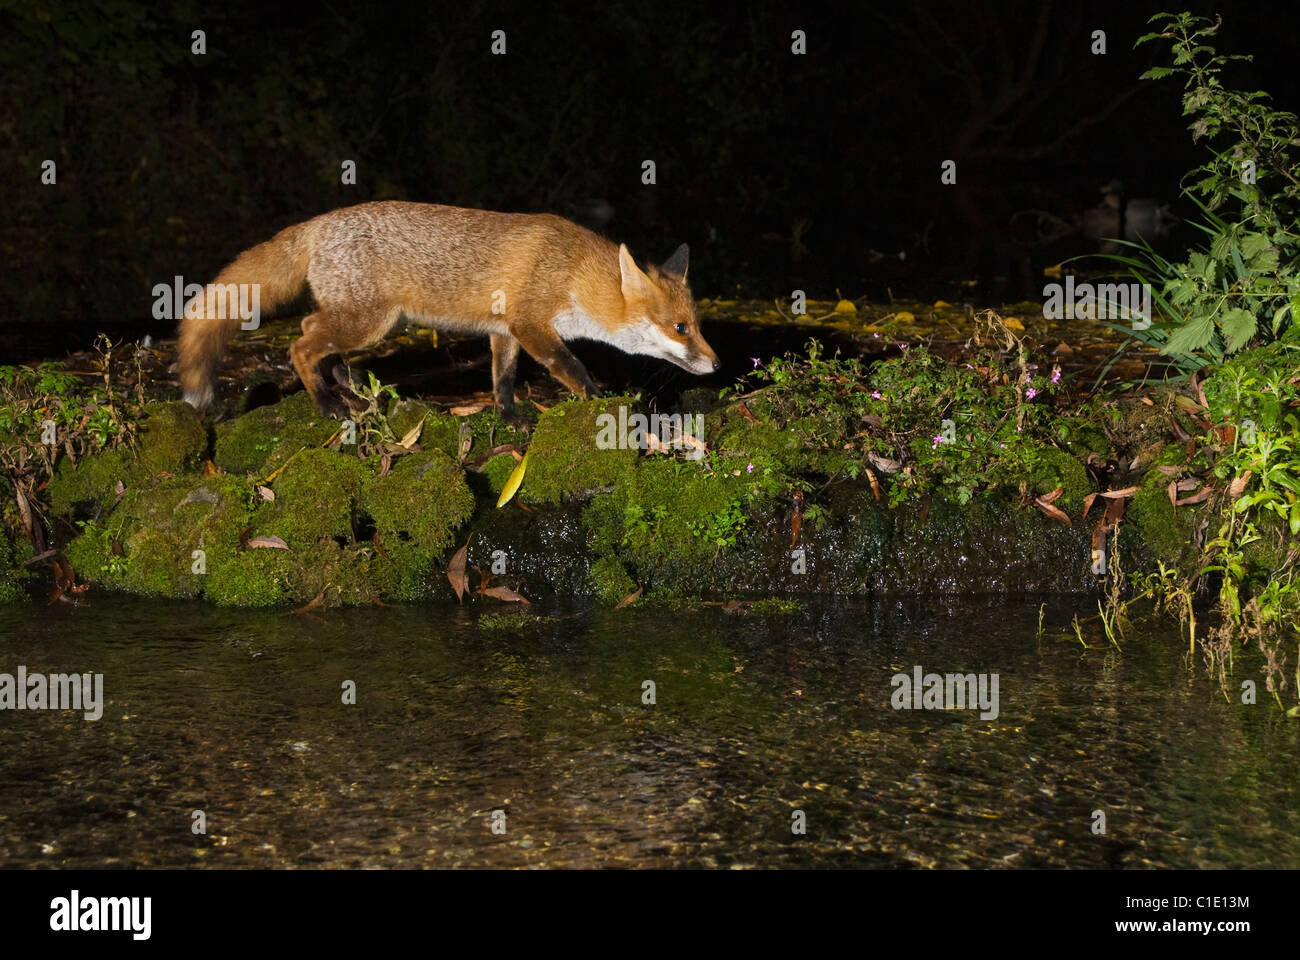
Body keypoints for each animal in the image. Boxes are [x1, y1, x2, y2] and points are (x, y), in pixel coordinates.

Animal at [176, 201, 720, 419]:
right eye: (680, 327)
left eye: (696, 324)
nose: (718, 364)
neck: (572, 272)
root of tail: (316, 223)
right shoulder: (530, 322)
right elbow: (569, 365)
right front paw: (596, 396)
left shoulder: (504, 329)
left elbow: (502, 378)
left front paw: (510, 417)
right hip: (368, 322)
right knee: (300, 345)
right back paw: (328, 404)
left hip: (362, 320)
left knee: (313, 331)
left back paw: (348, 385)